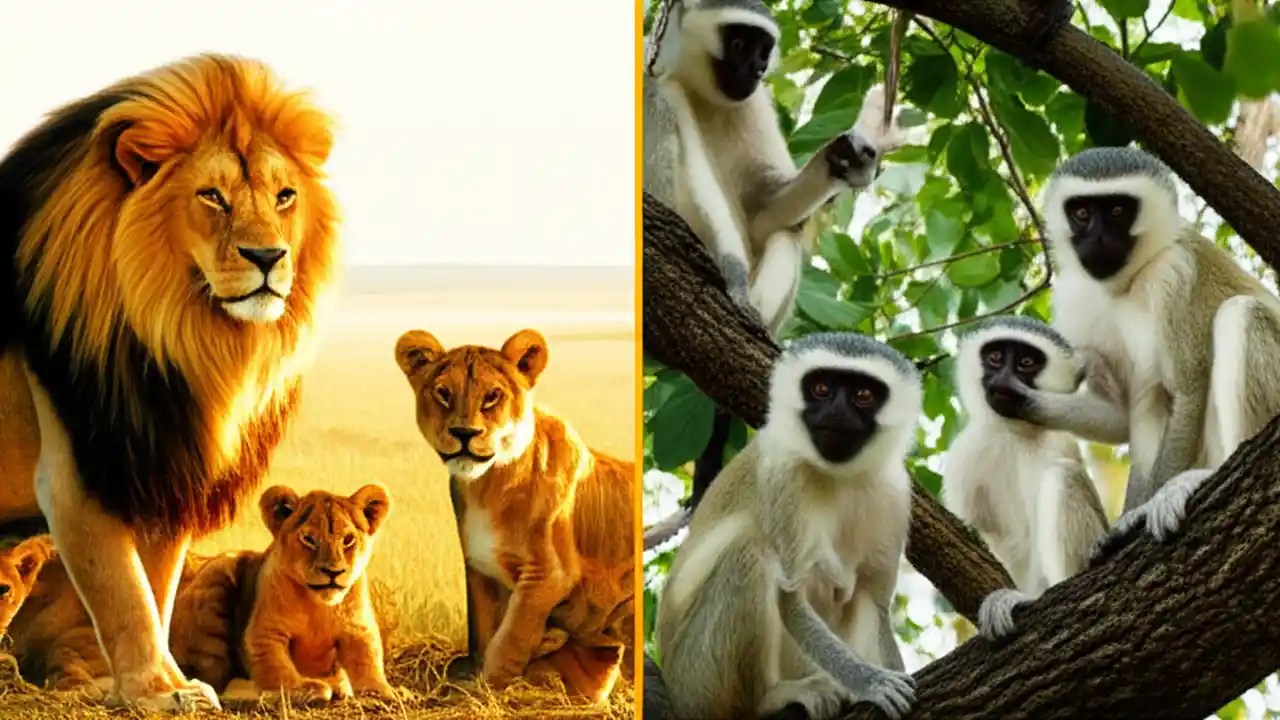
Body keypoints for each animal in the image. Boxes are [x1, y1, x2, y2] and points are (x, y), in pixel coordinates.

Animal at [0, 55, 338, 710]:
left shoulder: (164, 461)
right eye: (212, 196)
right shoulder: (82, 469)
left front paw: (163, 686)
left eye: (284, 196)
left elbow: (156, 587)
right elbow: (124, 593)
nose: (268, 257)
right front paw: (157, 691)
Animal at [394, 328, 635, 703]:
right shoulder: (479, 570)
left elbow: (509, 641)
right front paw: (470, 678)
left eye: (492, 396)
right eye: (443, 394)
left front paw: (485, 691)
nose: (465, 434)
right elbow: (482, 634)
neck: (487, 486)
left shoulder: (548, 574)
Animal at [654, 333, 919, 720]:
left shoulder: (896, 494)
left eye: (863, 395)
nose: (836, 413)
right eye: (821, 388)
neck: (839, 475)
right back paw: (769, 698)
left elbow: (873, 601)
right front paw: (873, 682)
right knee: (749, 552)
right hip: (698, 682)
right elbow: (790, 598)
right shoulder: (783, 479)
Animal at [942, 316, 1108, 640]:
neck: (1012, 433)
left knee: (1064, 476)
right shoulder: (964, 459)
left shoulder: (1055, 443)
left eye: (1026, 363)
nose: (1003, 381)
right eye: (995, 358)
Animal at [997, 146, 1280, 551]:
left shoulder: (1173, 275)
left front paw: (1147, 507)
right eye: (1082, 213)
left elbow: (1188, 387)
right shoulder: (1074, 296)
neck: (1126, 285)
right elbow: (1129, 411)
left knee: (1241, 314)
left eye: (1118, 210)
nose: (1098, 240)